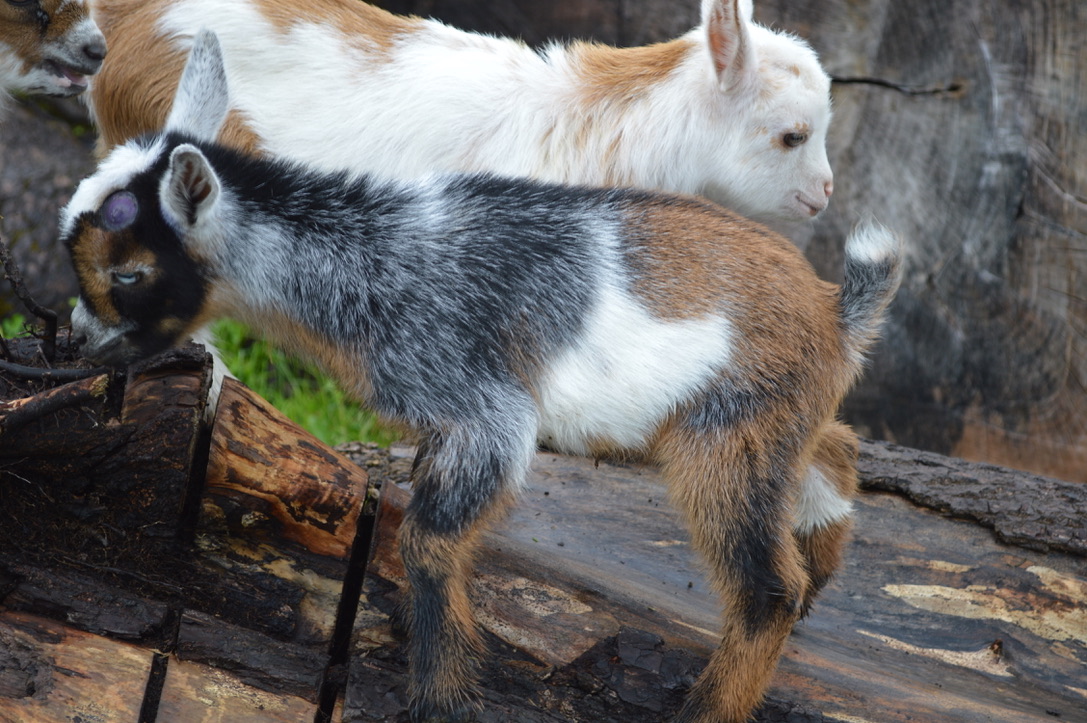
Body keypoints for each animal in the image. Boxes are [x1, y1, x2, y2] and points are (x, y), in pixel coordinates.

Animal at [63, 31, 900, 722]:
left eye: (129, 272)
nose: (81, 343)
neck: (368, 257)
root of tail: (835, 311)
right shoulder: (445, 425)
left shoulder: (486, 412)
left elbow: (430, 541)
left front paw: (442, 695)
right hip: (769, 416)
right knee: (834, 449)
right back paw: (820, 576)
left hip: (723, 438)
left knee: (765, 588)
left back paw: (713, 699)